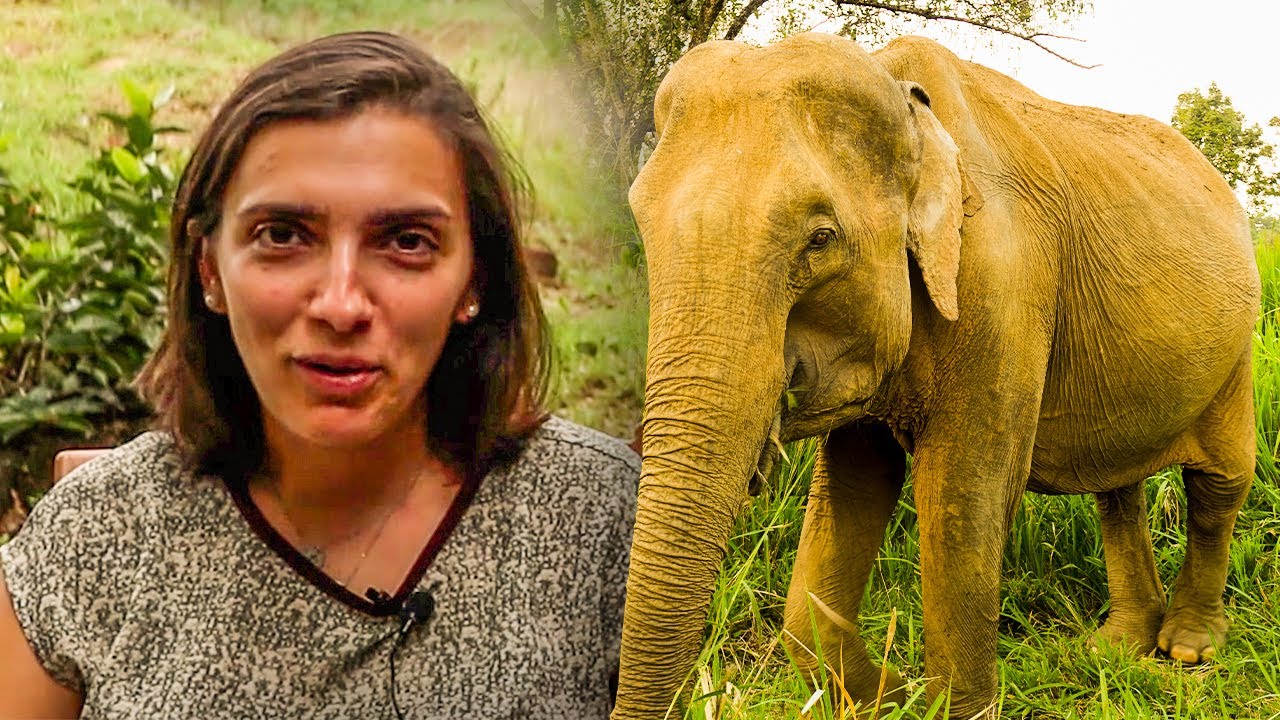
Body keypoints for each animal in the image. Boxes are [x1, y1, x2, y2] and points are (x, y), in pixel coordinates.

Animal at [614, 32, 1260, 718]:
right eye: (641, 223)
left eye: (820, 239)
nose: (897, 686)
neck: (905, 101)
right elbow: (857, 481)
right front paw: (892, 696)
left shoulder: (1003, 279)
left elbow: (965, 495)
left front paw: (932, 699)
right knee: (1117, 486)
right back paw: (1116, 647)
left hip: (1237, 344)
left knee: (1220, 482)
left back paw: (1186, 647)